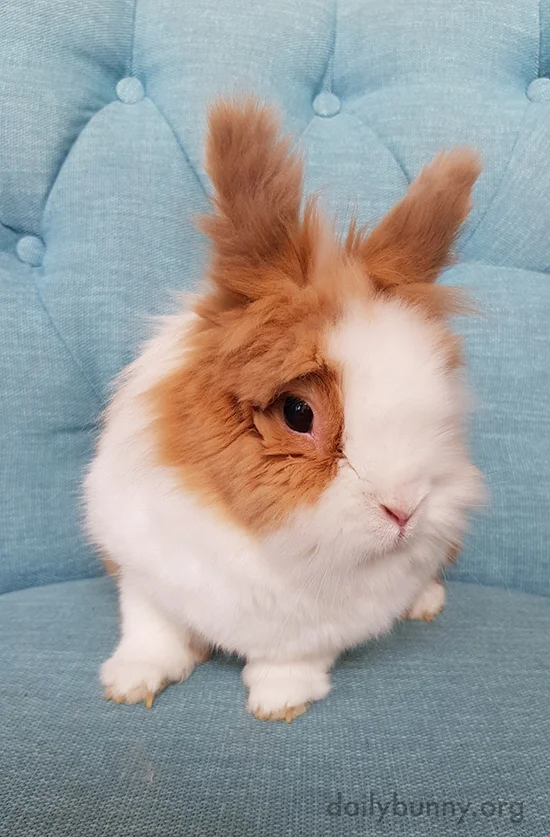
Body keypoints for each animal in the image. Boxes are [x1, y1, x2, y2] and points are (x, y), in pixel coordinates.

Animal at [84, 98, 484, 722]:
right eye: (299, 413)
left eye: (442, 401)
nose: (404, 510)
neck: (260, 540)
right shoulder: (143, 572)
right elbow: (152, 630)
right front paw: (129, 683)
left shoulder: (315, 629)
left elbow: (291, 657)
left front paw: (278, 703)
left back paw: (426, 603)